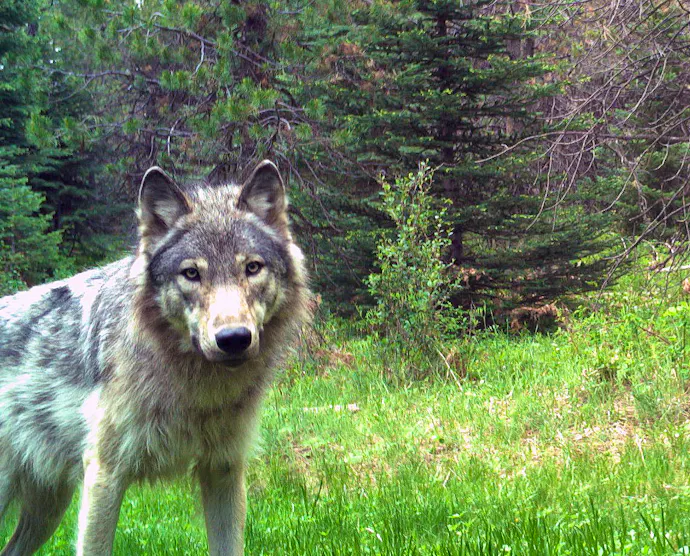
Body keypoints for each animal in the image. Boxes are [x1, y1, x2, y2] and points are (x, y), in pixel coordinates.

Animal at [0, 160, 310, 555]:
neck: (195, 389)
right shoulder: (105, 475)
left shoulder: (223, 470)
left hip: (49, 508)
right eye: (191, 273)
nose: (234, 339)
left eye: (252, 268)